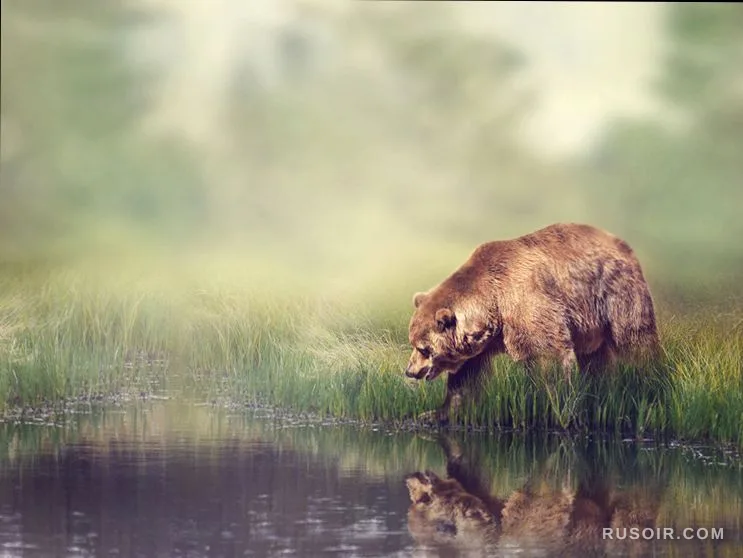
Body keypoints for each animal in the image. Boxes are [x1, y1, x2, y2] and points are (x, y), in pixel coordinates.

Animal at [405, 223, 660, 423]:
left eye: (424, 349)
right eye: (413, 343)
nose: (410, 370)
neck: (493, 308)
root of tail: (622, 243)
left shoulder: (528, 304)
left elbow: (549, 356)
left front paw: (550, 407)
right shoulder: (482, 346)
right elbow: (465, 380)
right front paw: (434, 414)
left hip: (615, 293)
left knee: (634, 341)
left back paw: (645, 380)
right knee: (596, 358)